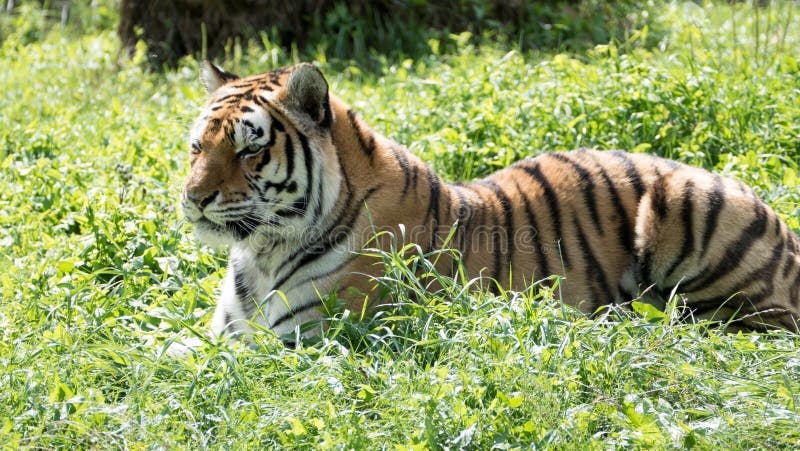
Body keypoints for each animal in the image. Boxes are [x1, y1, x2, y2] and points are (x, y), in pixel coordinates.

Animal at [181, 61, 800, 340]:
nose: (193, 198)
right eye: (197, 146)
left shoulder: (305, 338)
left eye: (250, 149)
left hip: (686, 206)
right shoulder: (224, 330)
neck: (261, 252)